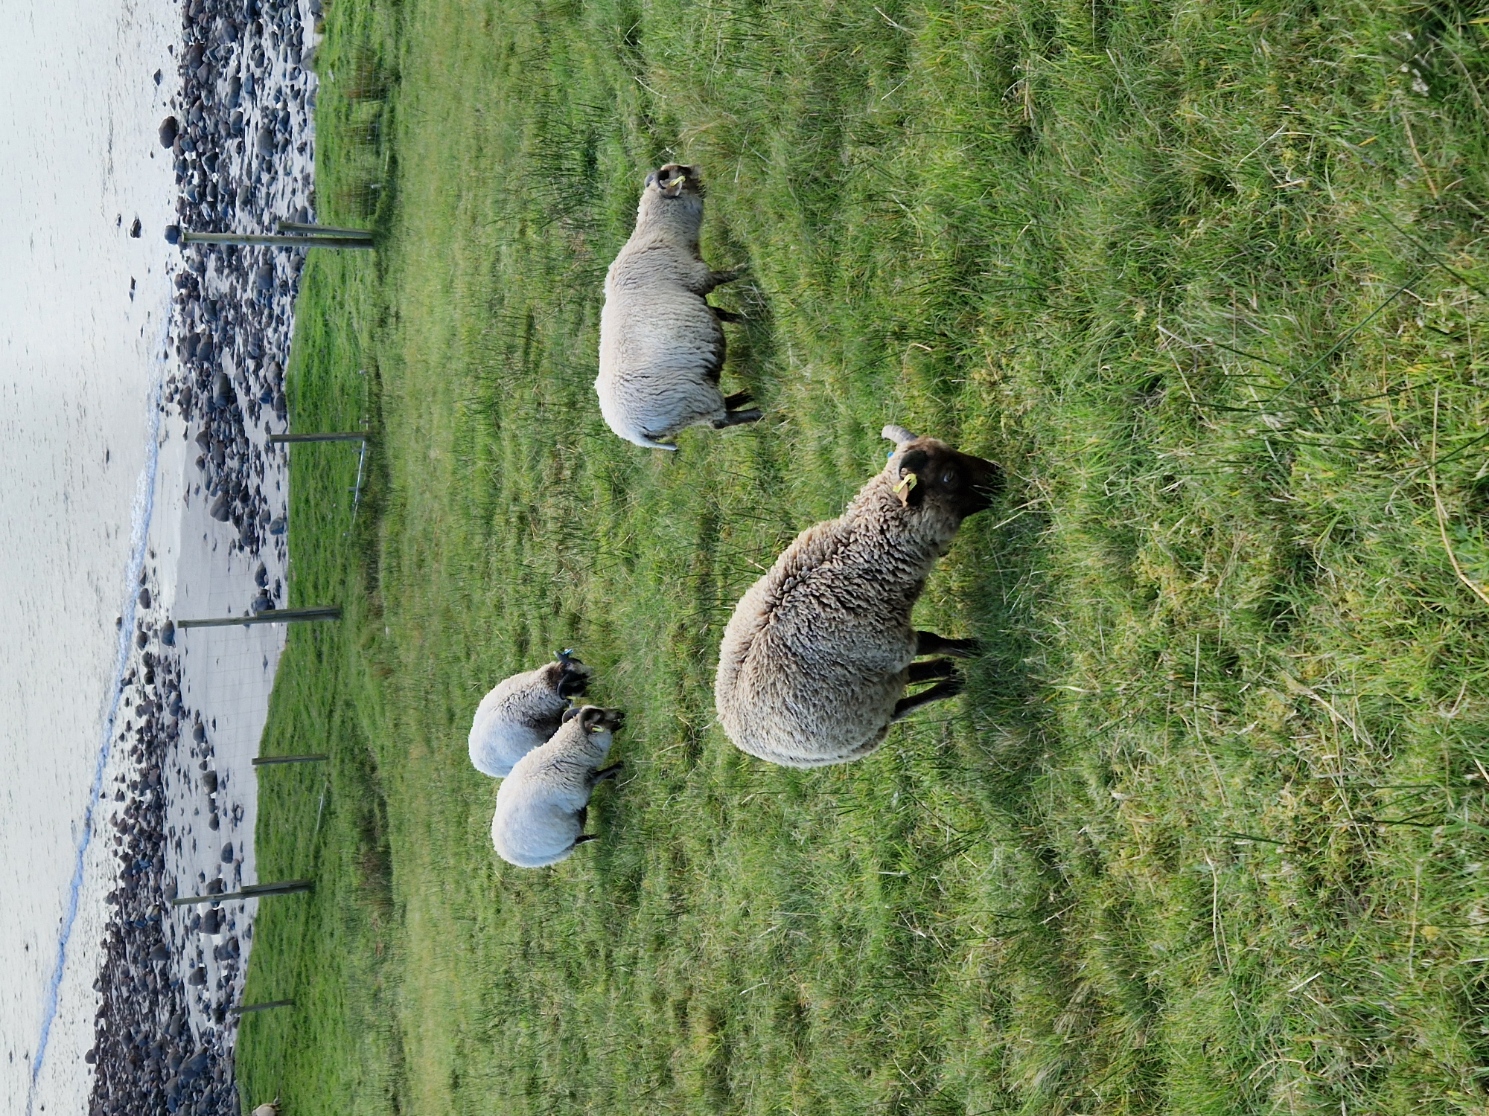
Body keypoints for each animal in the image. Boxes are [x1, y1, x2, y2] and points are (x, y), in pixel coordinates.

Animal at [490, 705, 626, 867]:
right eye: (599, 717)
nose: (621, 714)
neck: (562, 755)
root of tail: (501, 851)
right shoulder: (582, 787)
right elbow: (599, 776)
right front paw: (617, 767)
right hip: (563, 846)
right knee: (578, 840)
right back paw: (597, 836)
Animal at [595, 163, 760, 450]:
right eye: (681, 172)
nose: (701, 170)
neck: (660, 232)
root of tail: (633, 434)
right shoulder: (698, 277)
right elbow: (726, 277)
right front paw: (747, 271)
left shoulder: (696, 294)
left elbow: (720, 313)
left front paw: (748, 320)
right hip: (692, 396)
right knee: (721, 421)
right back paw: (759, 410)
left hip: (689, 409)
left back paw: (746, 395)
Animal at [714, 425, 1001, 767]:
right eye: (948, 477)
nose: (1000, 475)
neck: (855, 558)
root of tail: (729, 725)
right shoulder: (886, 643)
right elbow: (933, 640)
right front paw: (974, 648)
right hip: (864, 731)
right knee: (900, 706)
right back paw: (950, 684)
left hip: (870, 687)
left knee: (903, 679)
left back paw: (943, 672)